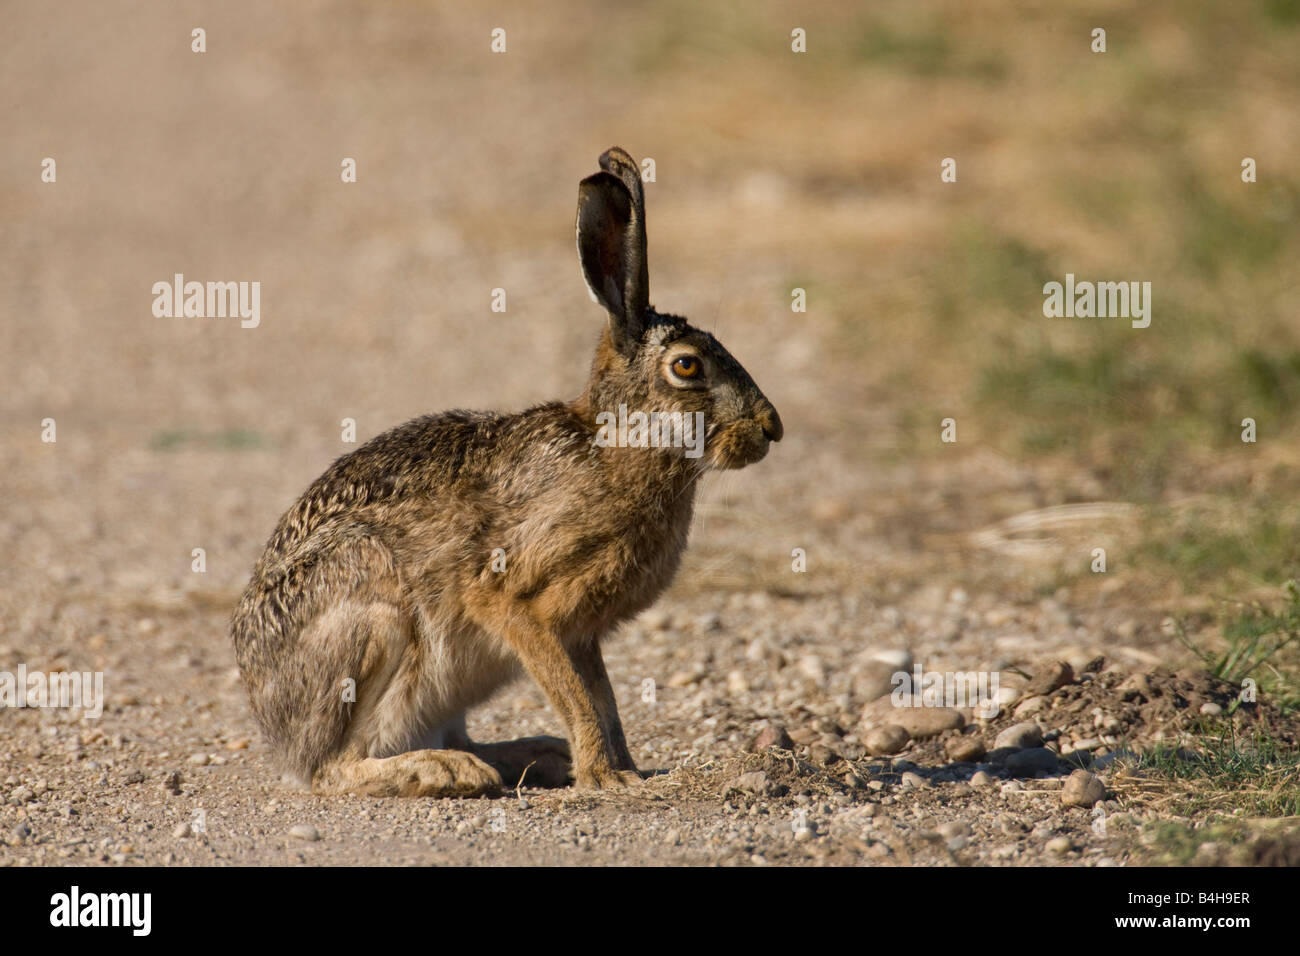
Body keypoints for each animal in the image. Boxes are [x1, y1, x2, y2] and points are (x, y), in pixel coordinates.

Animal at [231, 147, 783, 797]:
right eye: (688, 366)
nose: (772, 428)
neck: (618, 443)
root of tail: (271, 722)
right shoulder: (518, 601)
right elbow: (577, 698)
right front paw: (606, 778)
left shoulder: (582, 633)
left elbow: (604, 701)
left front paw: (625, 770)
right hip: (372, 615)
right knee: (333, 769)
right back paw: (447, 770)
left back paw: (530, 754)